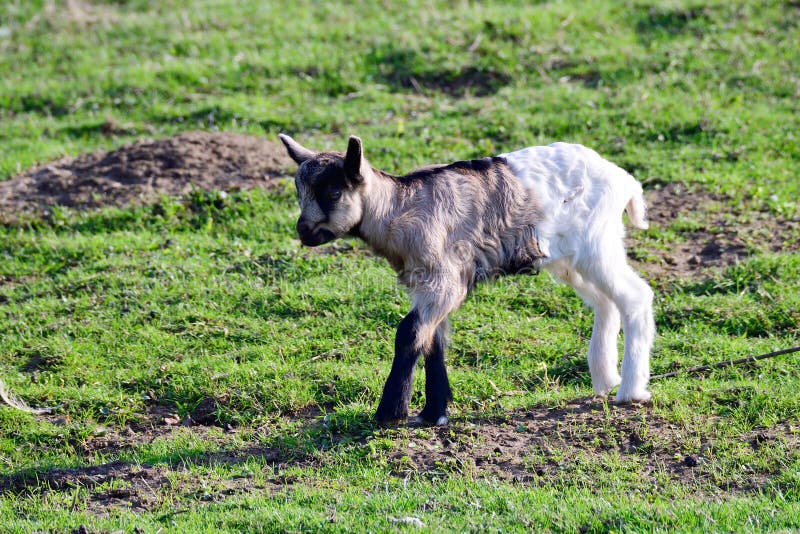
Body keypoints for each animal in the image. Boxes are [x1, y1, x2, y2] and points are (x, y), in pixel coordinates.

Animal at [279, 134, 655, 425]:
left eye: (333, 193)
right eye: (299, 192)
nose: (303, 232)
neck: (397, 209)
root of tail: (624, 180)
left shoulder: (445, 280)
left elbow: (409, 332)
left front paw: (391, 412)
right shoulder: (426, 283)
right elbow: (433, 340)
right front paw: (433, 413)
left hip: (595, 244)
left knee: (635, 296)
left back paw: (631, 391)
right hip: (572, 258)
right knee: (606, 302)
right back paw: (606, 379)